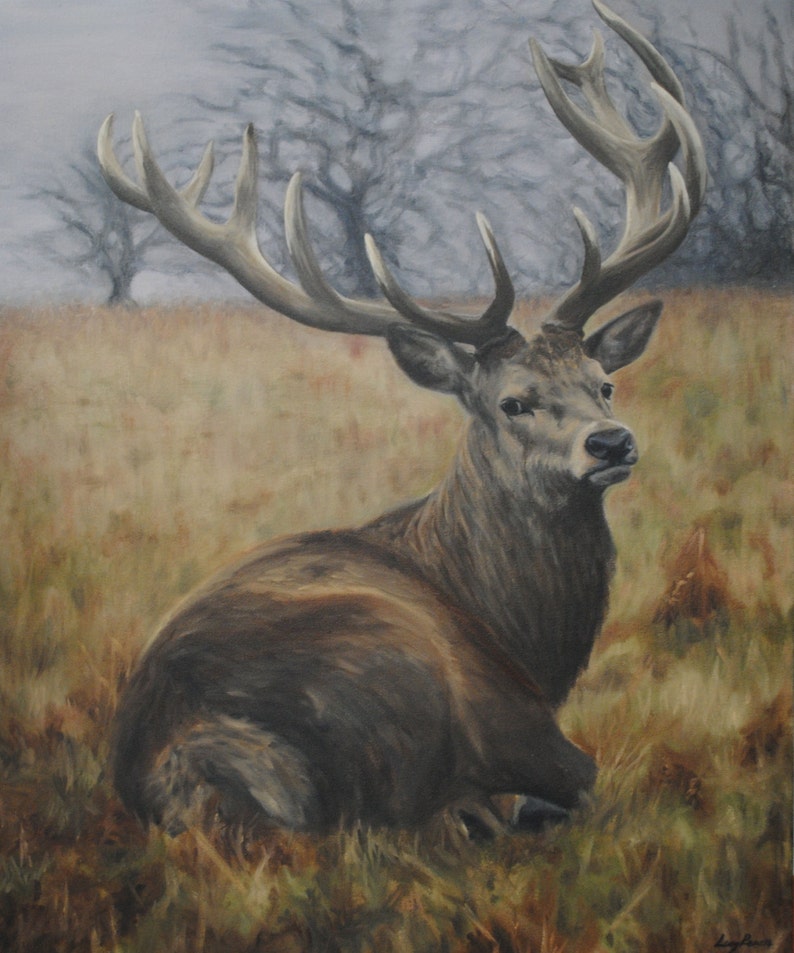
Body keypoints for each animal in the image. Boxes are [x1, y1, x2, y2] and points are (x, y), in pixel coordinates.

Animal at [97, 1, 705, 837]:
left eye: (604, 383)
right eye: (512, 401)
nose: (610, 442)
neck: (520, 635)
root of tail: (191, 752)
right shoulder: (514, 713)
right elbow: (577, 780)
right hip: (403, 673)